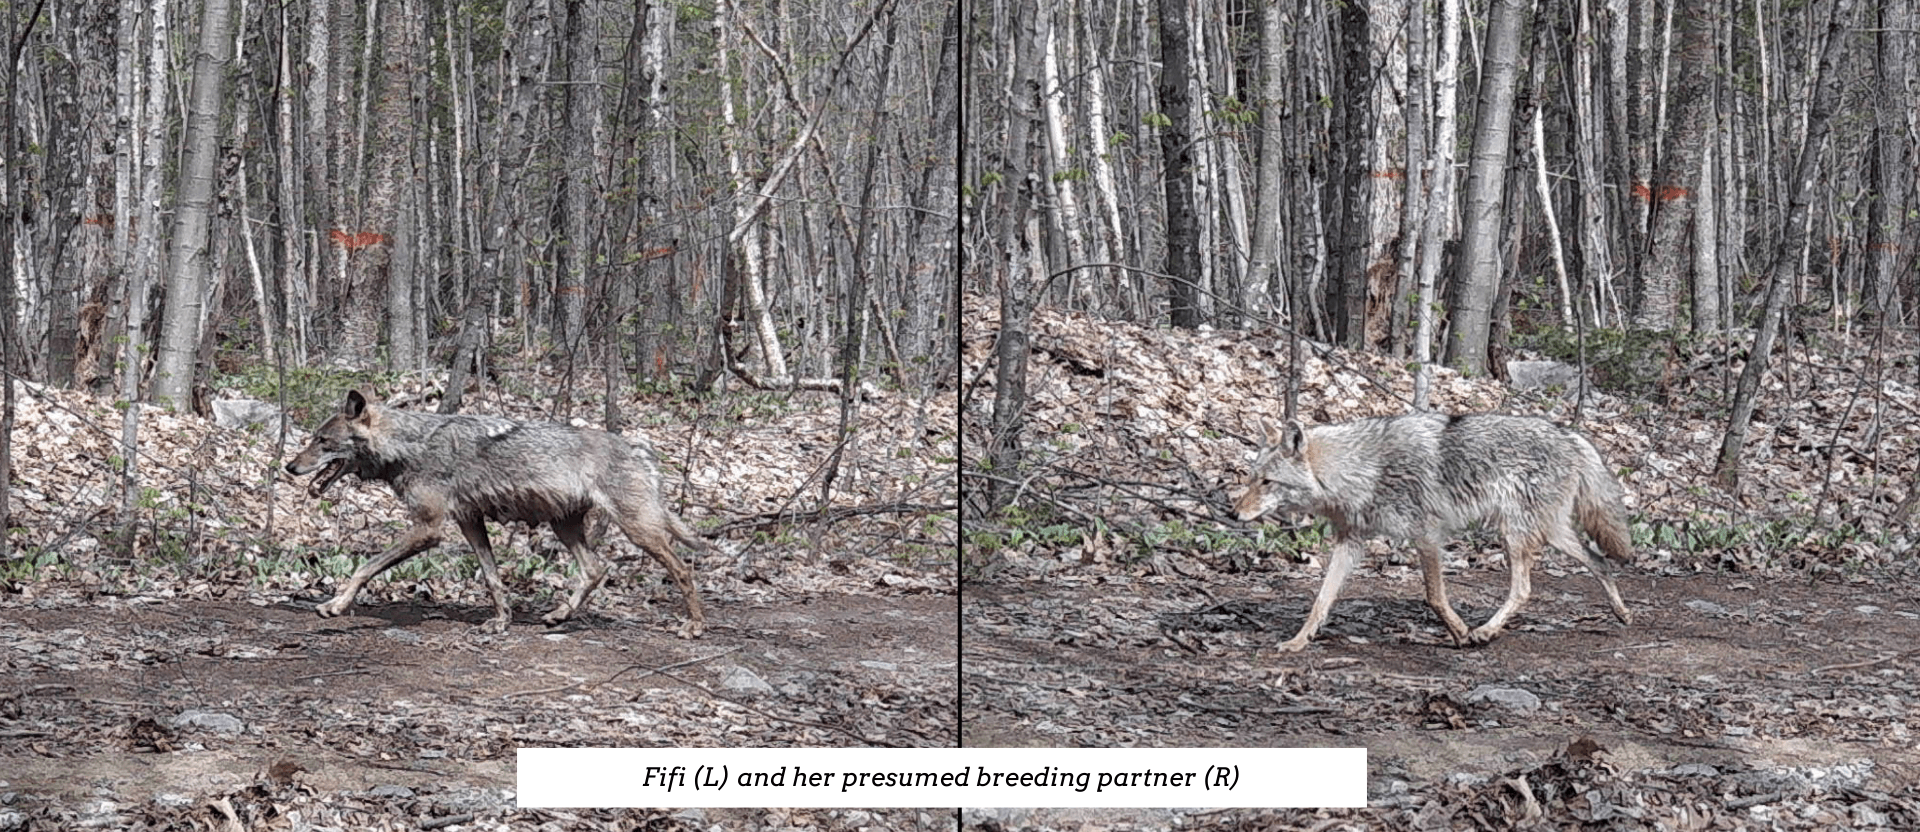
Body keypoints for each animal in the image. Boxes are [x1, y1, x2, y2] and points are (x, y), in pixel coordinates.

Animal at [285, 390, 705, 637]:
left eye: (322, 441)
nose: (289, 466)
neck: (409, 446)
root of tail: (639, 446)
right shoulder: (469, 522)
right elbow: (492, 577)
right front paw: (502, 621)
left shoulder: (428, 529)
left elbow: (364, 567)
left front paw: (336, 605)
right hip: (564, 526)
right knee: (596, 569)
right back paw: (558, 615)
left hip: (637, 530)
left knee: (683, 569)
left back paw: (695, 626)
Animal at [1233, 413, 1632, 652]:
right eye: (1251, 478)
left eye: (1267, 482)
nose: (1234, 512)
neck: (1363, 470)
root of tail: (1570, 435)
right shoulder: (1350, 542)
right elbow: (1320, 600)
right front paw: (1298, 641)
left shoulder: (1427, 537)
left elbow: (1434, 596)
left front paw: (1461, 634)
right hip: (1549, 534)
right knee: (1599, 561)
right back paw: (1622, 613)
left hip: (1516, 535)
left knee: (1524, 590)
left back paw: (1486, 631)